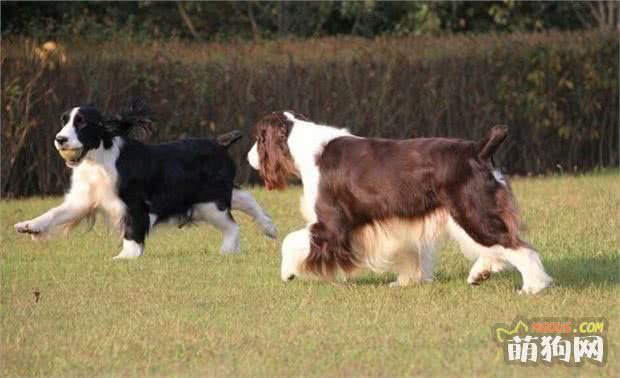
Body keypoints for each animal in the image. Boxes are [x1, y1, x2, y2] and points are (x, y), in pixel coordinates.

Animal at [13, 100, 276, 258]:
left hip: (209, 203)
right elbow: (55, 213)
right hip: (213, 197)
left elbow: (133, 230)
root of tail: (219, 142)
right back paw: (269, 228)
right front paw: (28, 226)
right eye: (63, 121)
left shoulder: (133, 202)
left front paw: (124, 257)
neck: (99, 160)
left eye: (82, 123)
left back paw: (228, 250)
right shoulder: (83, 200)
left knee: (232, 224)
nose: (60, 139)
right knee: (246, 200)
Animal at [247, 110, 552, 294]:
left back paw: (533, 286)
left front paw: (287, 273)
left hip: (470, 208)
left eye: (258, 138)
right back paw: (480, 273)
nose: (249, 159)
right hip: (464, 211)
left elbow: (291, 239)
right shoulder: (396, 219)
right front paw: (405, 282)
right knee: (495, 243)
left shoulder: (332, 224)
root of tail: (479, 149)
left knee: (516, 245)